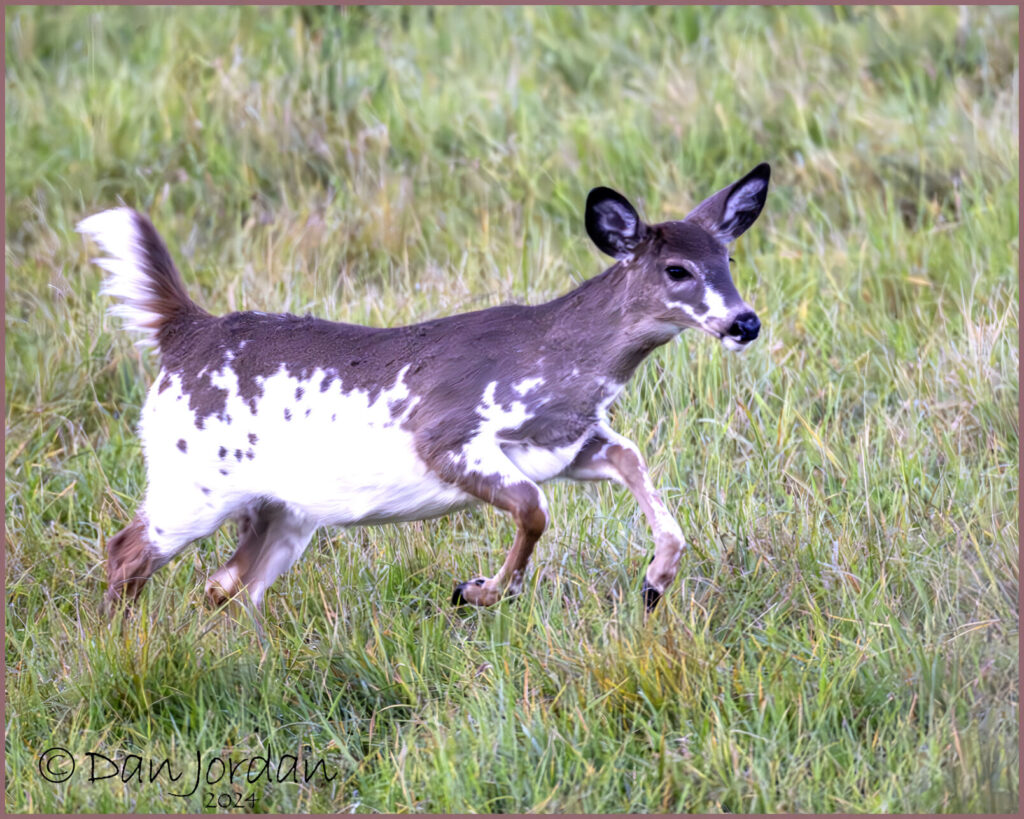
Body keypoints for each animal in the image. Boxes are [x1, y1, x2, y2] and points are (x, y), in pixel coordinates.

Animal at [78, 163, 770, 623]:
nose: (745, 322)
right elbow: (534, 509)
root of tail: (185, 332)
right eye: (677, 270)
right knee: (127, 552)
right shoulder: (447, 432)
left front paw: (655, 582)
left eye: (729, 261)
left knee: (224, 585)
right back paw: (117, 643)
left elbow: (633, 463)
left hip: (281, 511)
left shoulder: (570, 443)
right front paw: (479, 591)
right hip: (192, 480)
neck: (557, 364)